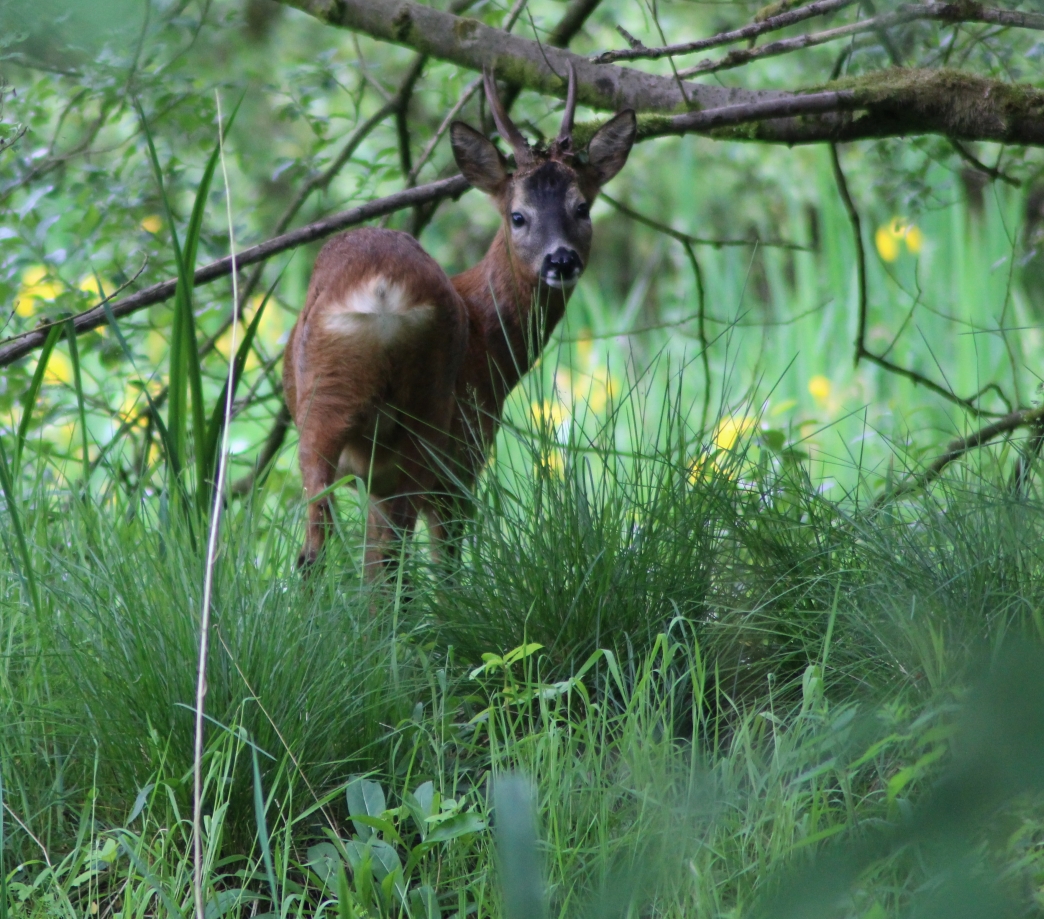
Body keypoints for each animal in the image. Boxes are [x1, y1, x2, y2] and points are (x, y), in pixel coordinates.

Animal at [283, 65, 637, 576]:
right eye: (518, 216)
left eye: (582, 208)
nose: (561, 260)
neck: (489, 338)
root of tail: (382, 289)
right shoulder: (466, 451)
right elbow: (444, 556)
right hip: (427, 411)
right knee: (390, 560)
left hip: (323, 408)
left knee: (318, 550)